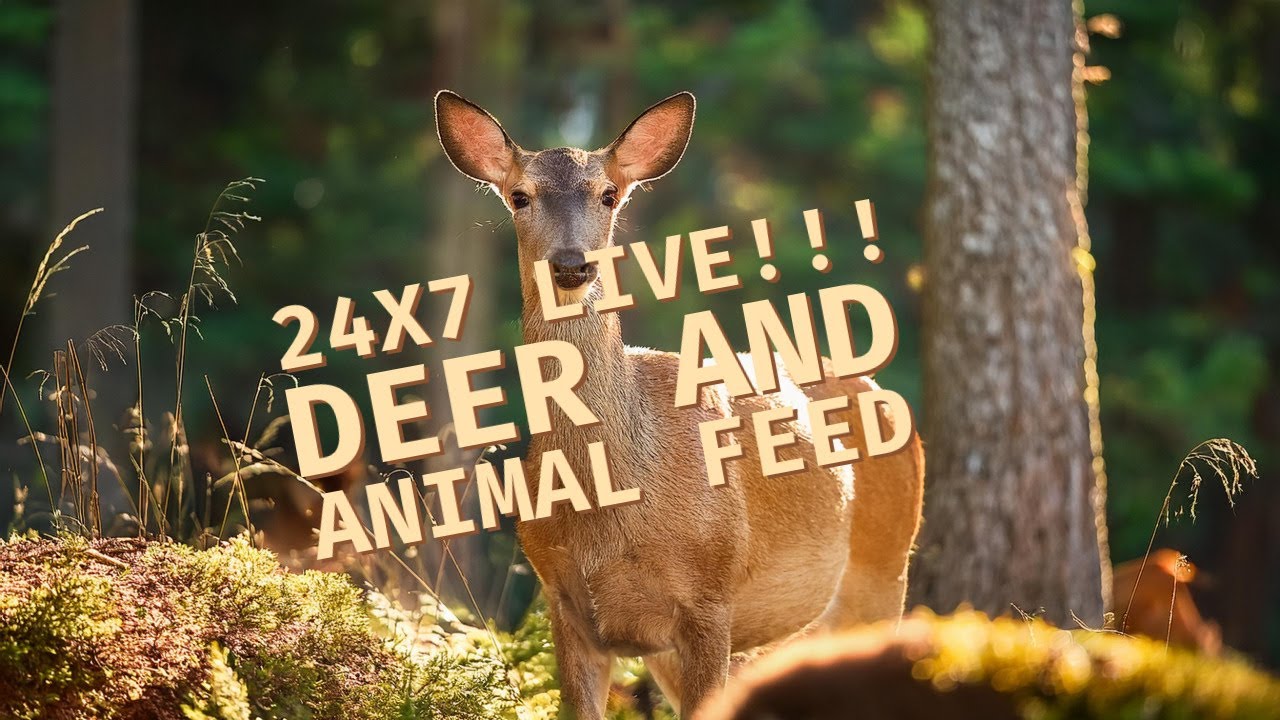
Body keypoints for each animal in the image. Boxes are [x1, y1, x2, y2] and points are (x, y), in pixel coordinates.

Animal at [435, 89, 925, 718]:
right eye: (520, 196)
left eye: (609, 194)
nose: (571, 264)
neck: (611, 511)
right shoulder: (563, 601)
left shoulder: (711, 598)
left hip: (884, 568)